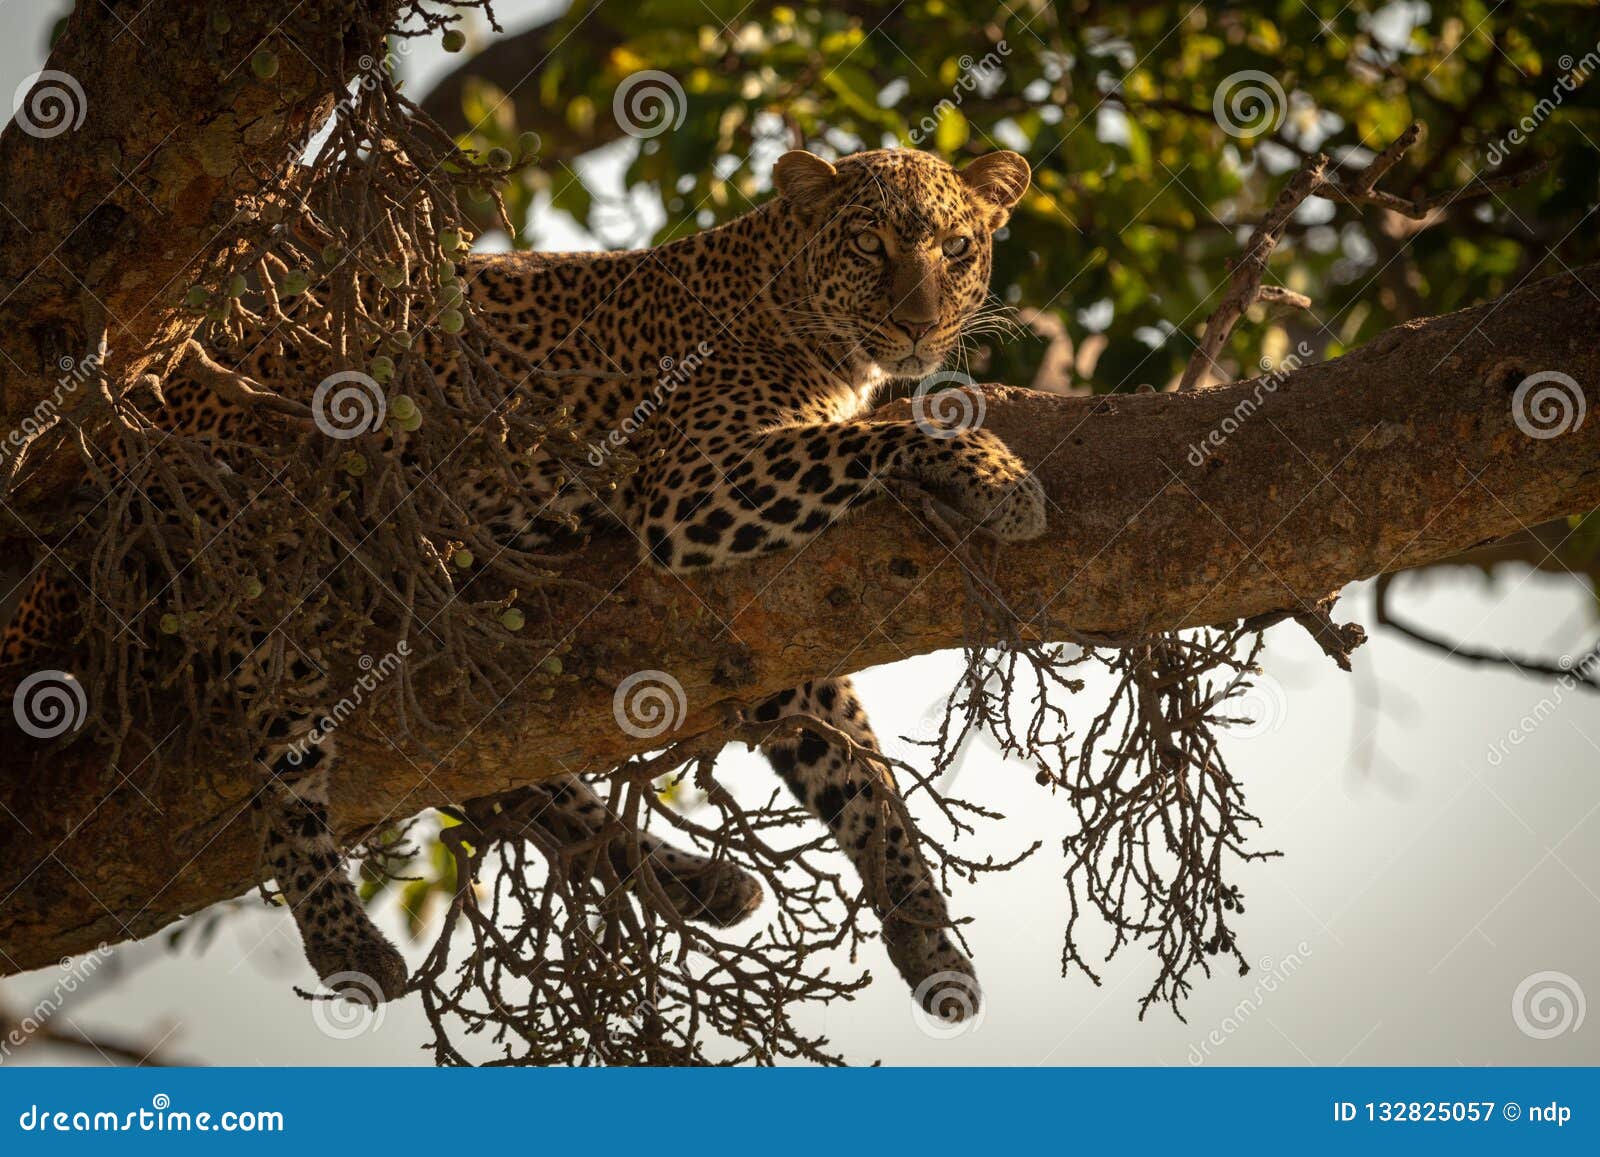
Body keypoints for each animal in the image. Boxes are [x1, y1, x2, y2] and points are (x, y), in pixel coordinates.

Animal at [1, 146, 1044, 1024]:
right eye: (870, 244)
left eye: (958, 248)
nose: (919, 324)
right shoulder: (690, 482)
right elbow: (881, 434)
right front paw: (1003, 479)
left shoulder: (778, 628)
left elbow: (858, 771)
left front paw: (923, 931)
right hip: (279, 564)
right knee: (280, 765)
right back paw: (346, 941)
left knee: (521, 779)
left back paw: (694, 880)